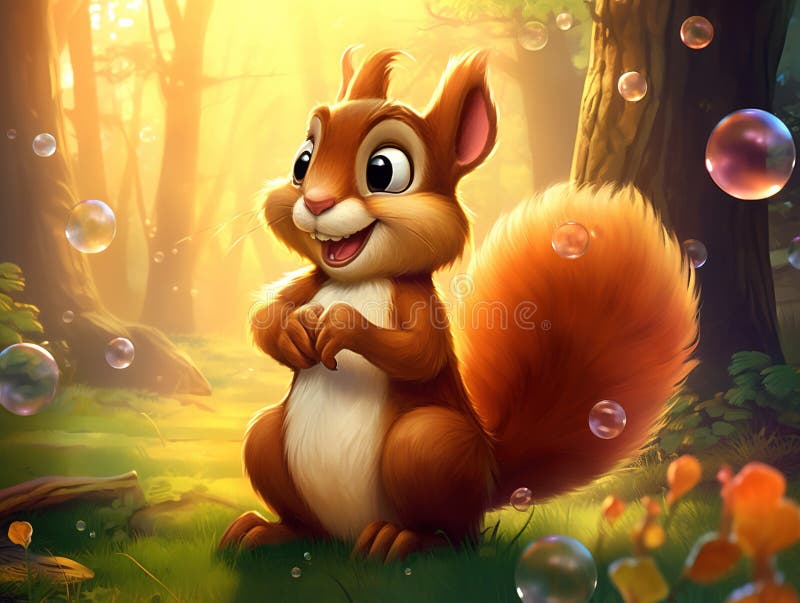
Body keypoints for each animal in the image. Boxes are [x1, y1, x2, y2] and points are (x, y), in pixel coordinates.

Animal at [218, 47, 699, 562]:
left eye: (383, 170)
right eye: (302, 162)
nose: (315, 201)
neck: (356, 280)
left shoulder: (419, 303)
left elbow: (419, 355)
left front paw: (343, 324)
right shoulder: (312, 281)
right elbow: (264, 316)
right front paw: (289, 331)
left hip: (429, 447)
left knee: (453, 532)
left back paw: (402, 540)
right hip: (269, 442)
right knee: (294, 498)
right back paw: (266, 532)